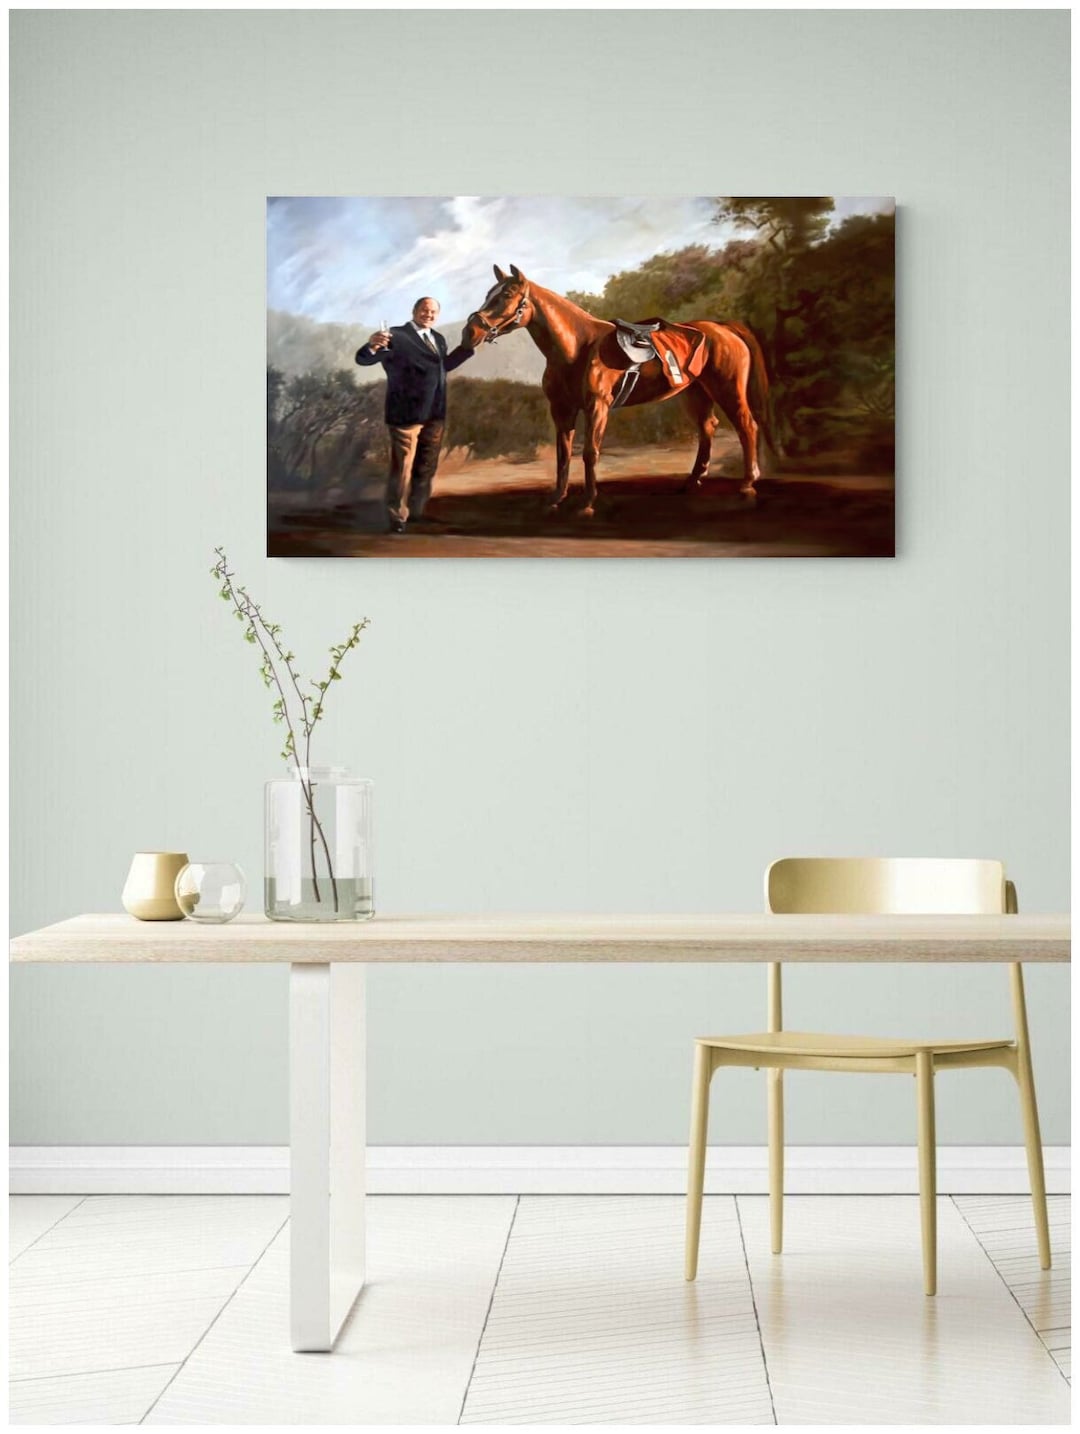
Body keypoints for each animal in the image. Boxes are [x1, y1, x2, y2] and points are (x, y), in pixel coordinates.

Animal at [461, 264, 776, 516]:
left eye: (505, 295)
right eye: (489, 293)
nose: (470, 333)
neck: (579, 347)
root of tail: (724, 328)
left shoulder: (597, 407)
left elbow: (590, 453)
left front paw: (587, 503)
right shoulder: (562, 411)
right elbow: (563, 455)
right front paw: (555, 499)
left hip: (728, 390)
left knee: (746, 426)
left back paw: (747, 484)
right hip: (696, 393)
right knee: (708, 427)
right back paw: (692, 481)